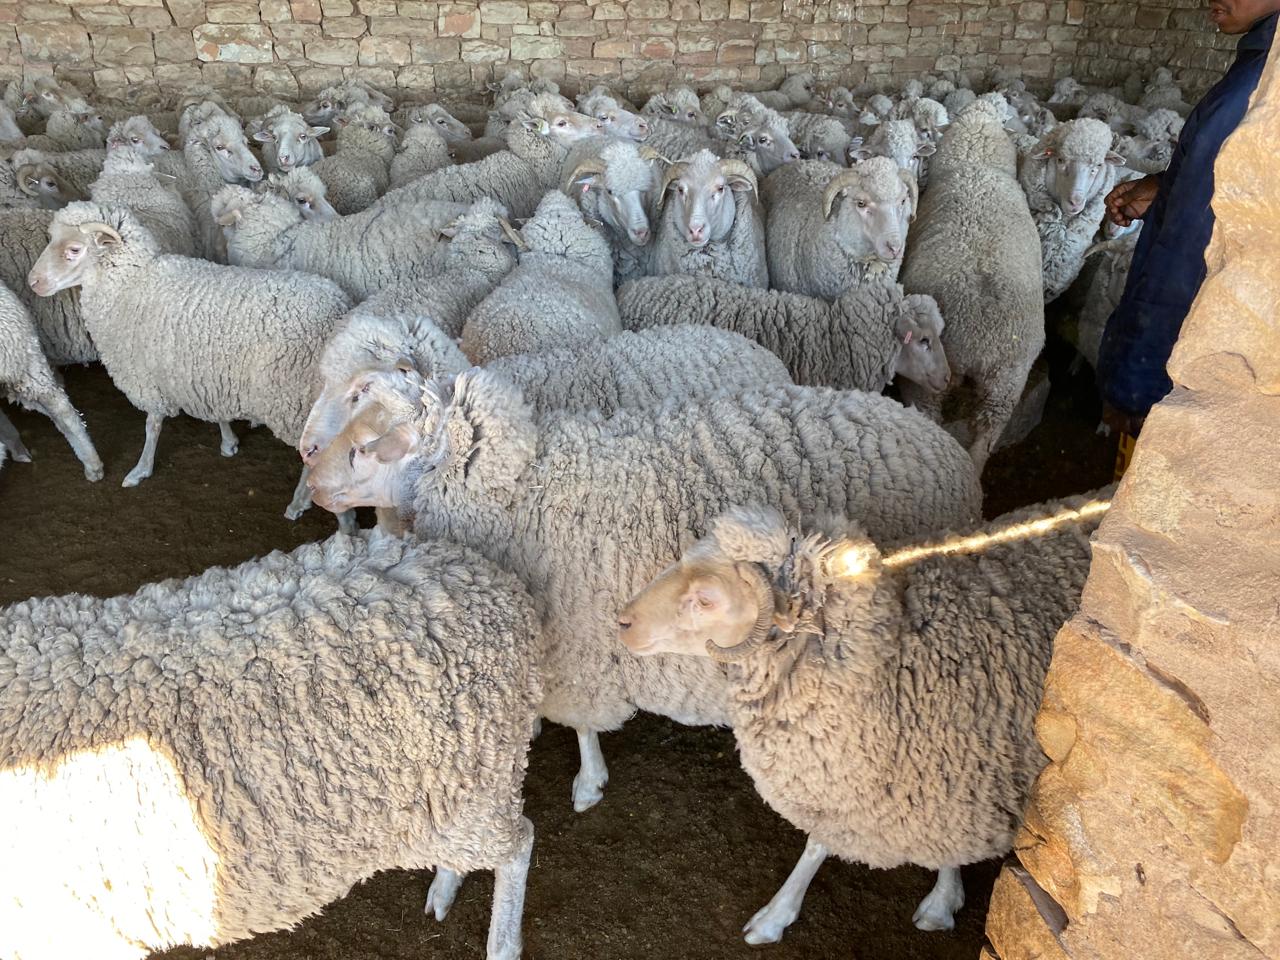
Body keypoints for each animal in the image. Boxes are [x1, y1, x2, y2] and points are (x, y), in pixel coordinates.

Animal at [28, 201, 351, 512]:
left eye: (74, 250)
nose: (32, 282)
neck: (129, 285)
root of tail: (339, 308)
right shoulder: (206, 373)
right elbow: (216, 413)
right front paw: (229, 441)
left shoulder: (148, 376)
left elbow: (152, 425)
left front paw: (141, 469)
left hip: (295, 400)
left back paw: (299, 502)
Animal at [306, 372, 982, 811]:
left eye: (366, 448)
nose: (311, 479)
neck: (521, 494)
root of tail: (948, 451)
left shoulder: (575, 643)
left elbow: (583, 725)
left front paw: (587, 783)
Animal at [617, 492, 1106, 940]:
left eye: (706, 599)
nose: (622, 622)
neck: (896, 662)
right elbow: (818, 842)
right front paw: (777, 913)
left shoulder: (962, 780)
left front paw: (941, 902)